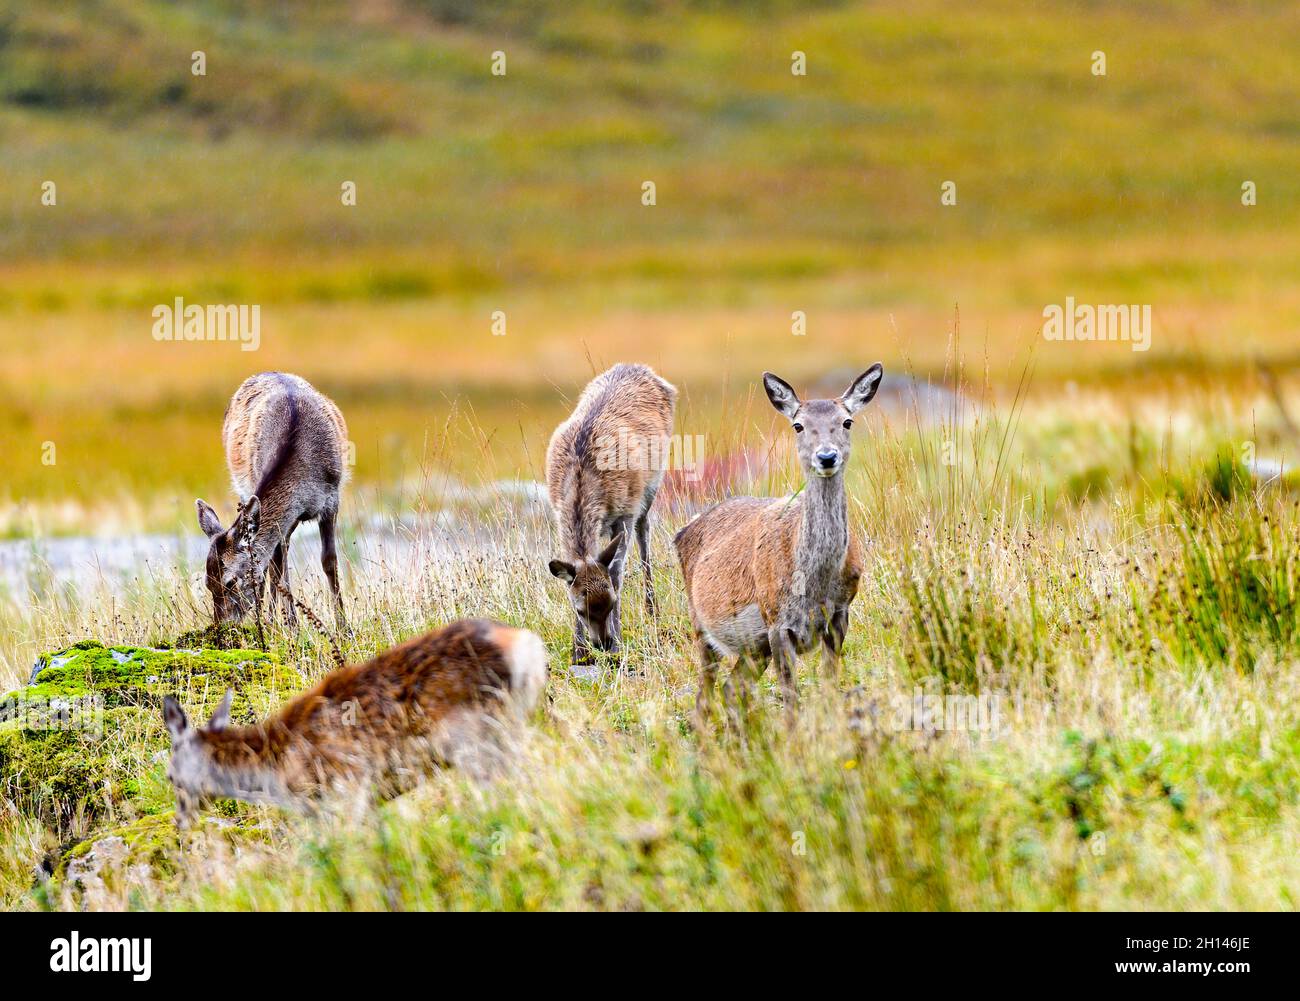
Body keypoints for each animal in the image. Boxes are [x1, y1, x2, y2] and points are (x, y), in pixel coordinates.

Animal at [195, 372, 349, 628]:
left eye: (230, 582)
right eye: (207, 583)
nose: (222, 627)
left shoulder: (331, 500)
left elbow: (330, 562)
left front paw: (345, 629)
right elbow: (278, 570)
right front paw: (289, 628)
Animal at [545, 363, 677, 666]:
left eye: (613, 601)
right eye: (579, 609)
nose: (603, 644)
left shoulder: (626, 512)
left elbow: (616, 571)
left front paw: (617, 644)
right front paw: (578, 652)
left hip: (651, 486)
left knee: (645, 534)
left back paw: (652, 612)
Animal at [674, 364, 883, 726]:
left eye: (847, 421)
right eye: (798, 425)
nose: (826, 456)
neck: (815, 585)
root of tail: (683, 531)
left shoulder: (841, 613)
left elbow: (829, 684)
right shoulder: (776, 622)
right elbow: (791, 698)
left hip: (753, 647)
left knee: (732, 688)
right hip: (701, 625)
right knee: (704, 697)